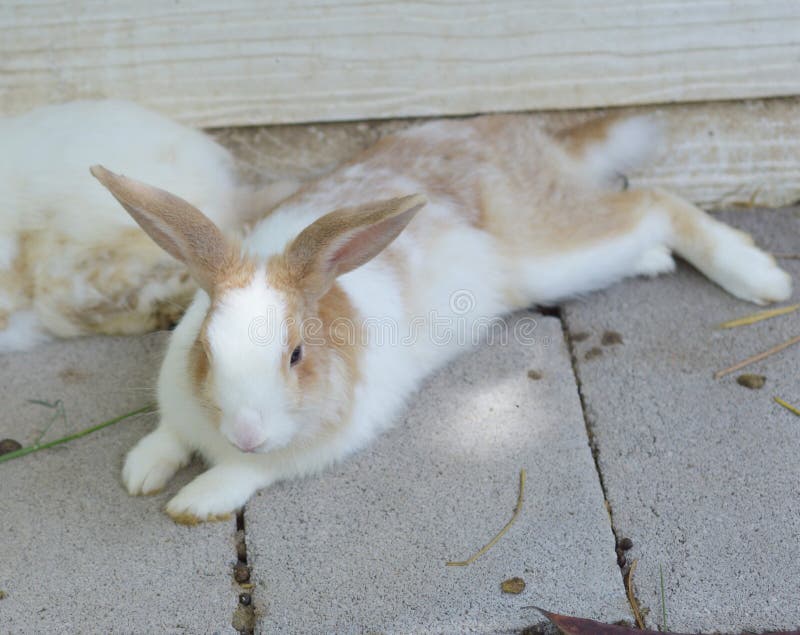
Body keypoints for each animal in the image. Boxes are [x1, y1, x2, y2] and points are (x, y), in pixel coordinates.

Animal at [91, 112, 791, 523]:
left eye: (295, 355)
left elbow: (253, 472)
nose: (245, 429)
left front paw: (193, 501)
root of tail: (529, 138)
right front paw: (140, 473)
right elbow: (169, 434)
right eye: (205, 350)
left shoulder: (328, 440)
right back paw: (658, 262)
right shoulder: (183, 407)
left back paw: (760, 277)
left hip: (553, 253)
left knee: (654, 202)